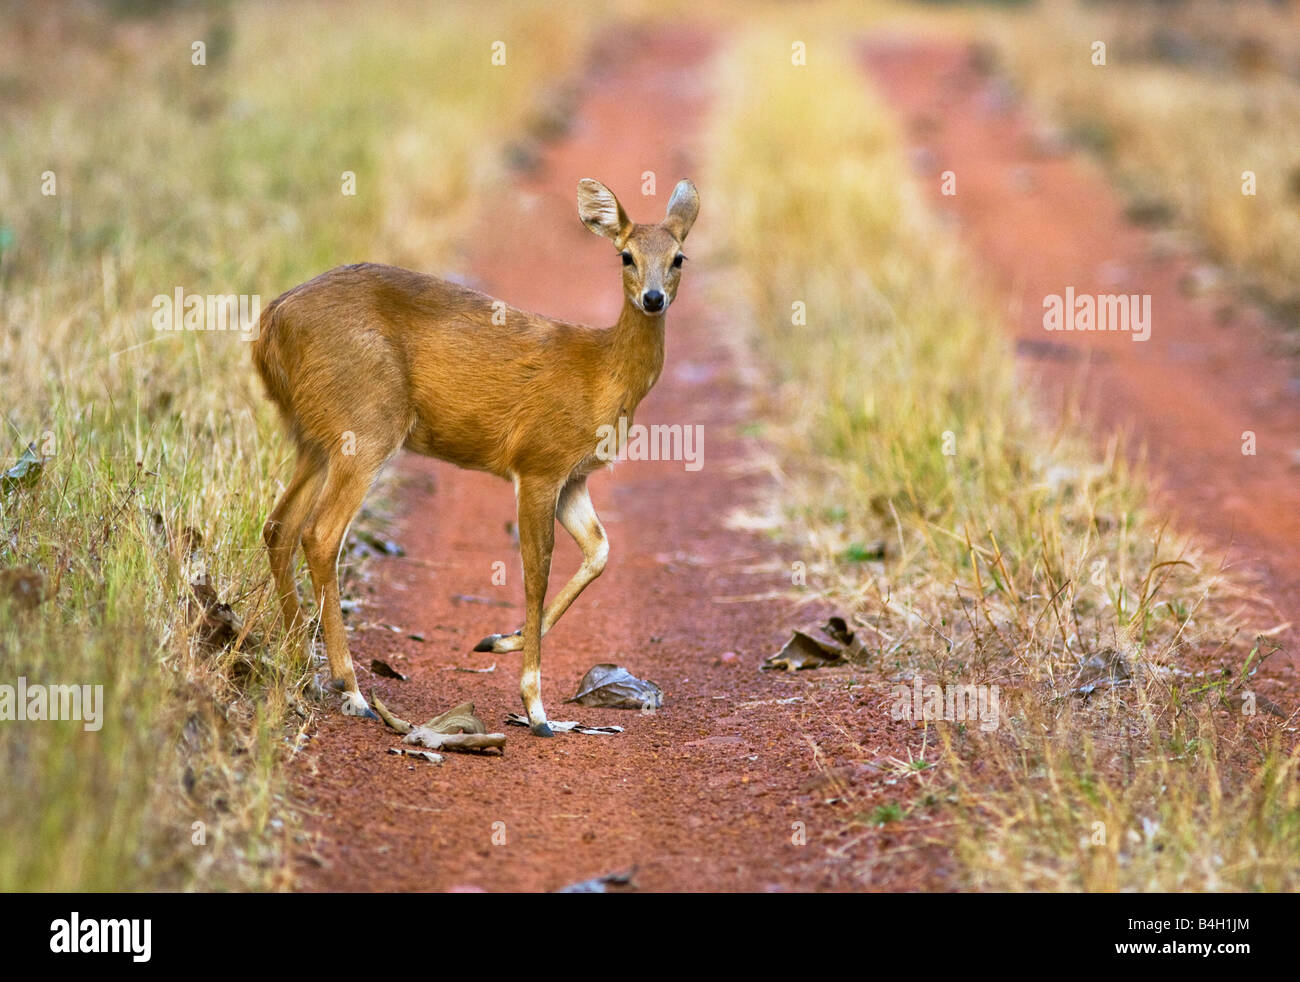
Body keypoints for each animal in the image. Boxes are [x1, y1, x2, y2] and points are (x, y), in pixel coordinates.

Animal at [252, 178, 699, 736]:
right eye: (626, 255)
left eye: (679, 257)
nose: (653, 299)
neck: (601, 374)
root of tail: (270, 324)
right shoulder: (538, 463)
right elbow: (536, 571)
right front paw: (536, 709)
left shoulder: (573, 478)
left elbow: (599, 551)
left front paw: (500, 640)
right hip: (366, 424)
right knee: (321, 533)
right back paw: (351, 688)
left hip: (314, 436)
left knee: (280, 525)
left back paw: (304, 665)